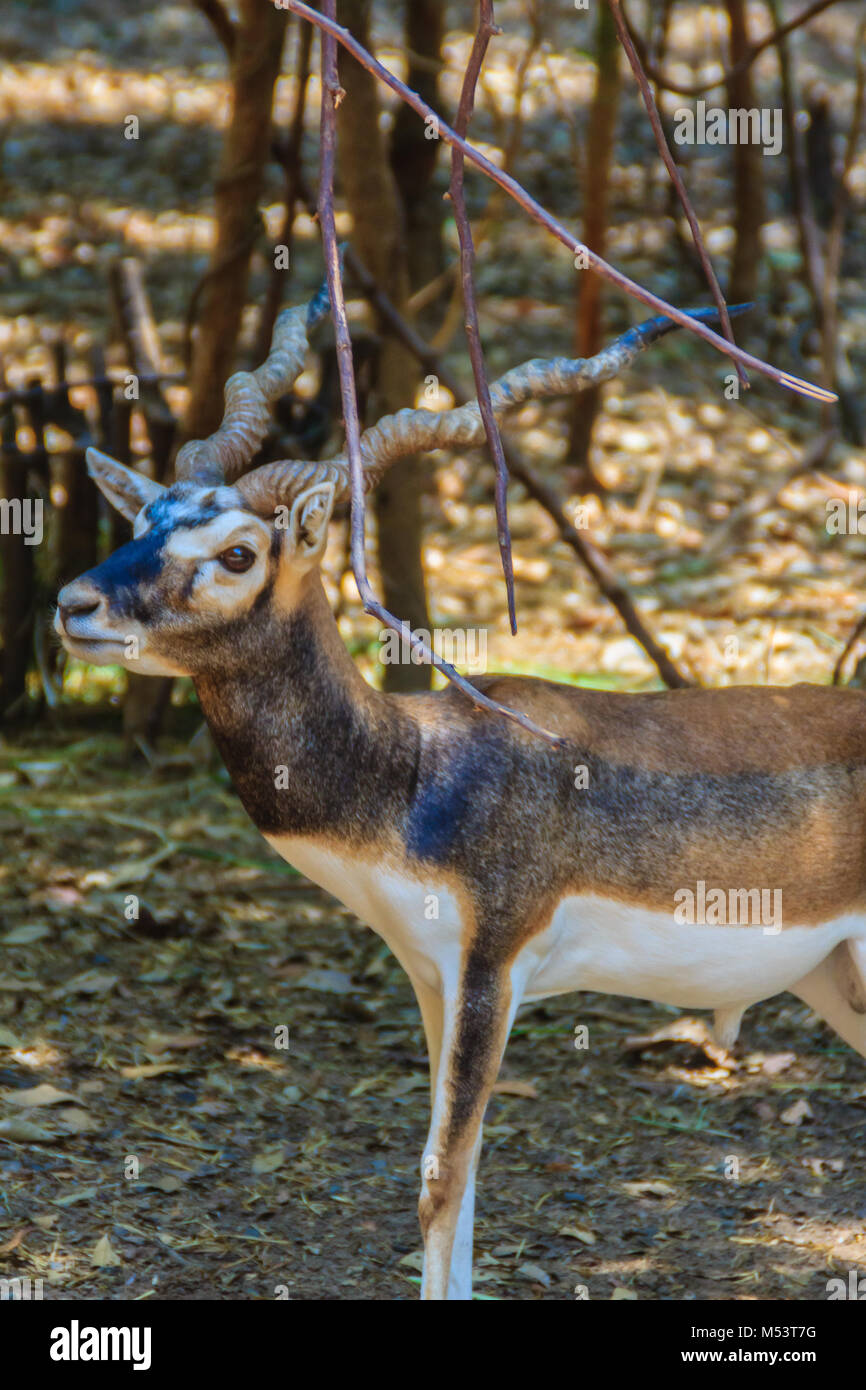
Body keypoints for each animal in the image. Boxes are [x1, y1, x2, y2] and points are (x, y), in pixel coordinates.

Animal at [55, 282, 866, 1301]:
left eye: (239, 553)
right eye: (141, 526)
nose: (74, 604)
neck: (415, 770)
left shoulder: (494, 966)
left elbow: (440, 1178)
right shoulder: (431, 977)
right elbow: (464, 1176)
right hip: (836, 981)